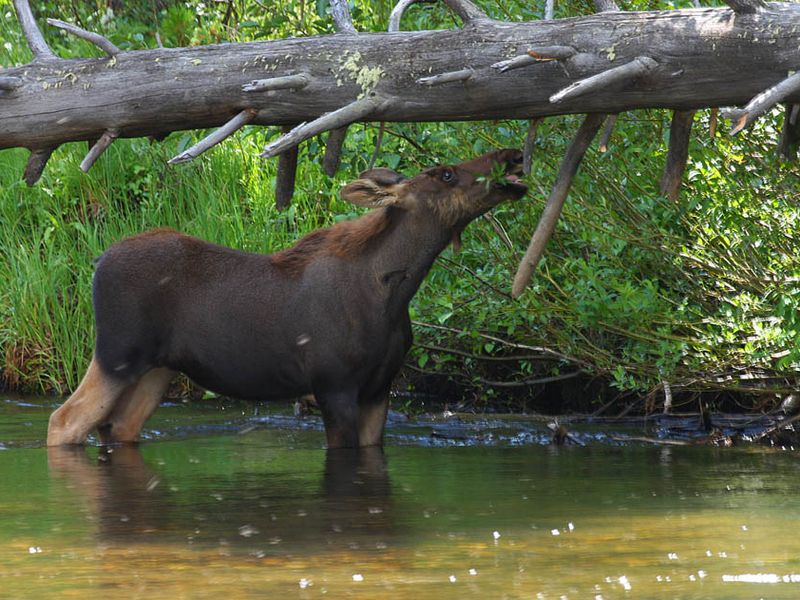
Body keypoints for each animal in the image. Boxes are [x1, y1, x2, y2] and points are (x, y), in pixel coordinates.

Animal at [47, 149, 527, 448]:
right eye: (444, 173)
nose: (511, 155)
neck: (394, 292)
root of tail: (97, 263)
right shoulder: (333, 386)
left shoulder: (379, 389)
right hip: (117, 354)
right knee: (64, 421)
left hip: (157, 369)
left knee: (116, 427)